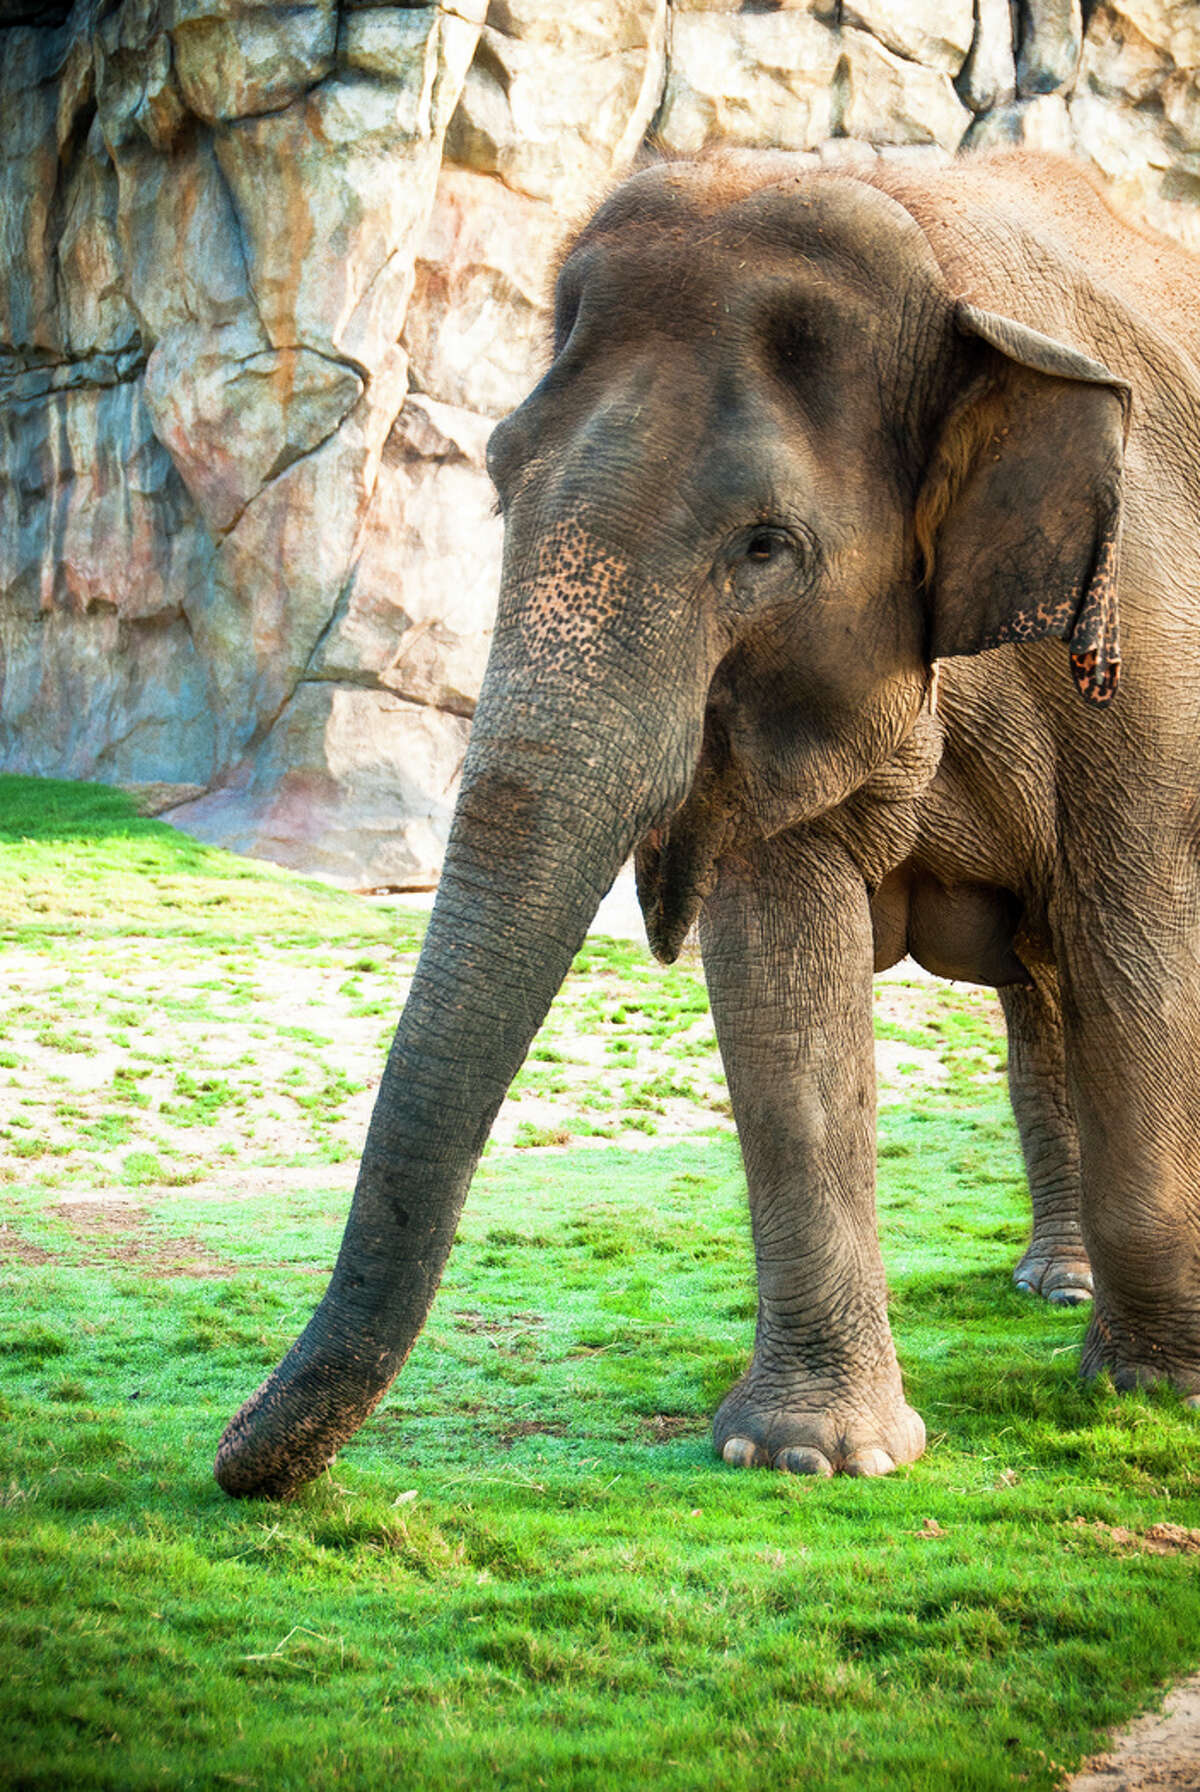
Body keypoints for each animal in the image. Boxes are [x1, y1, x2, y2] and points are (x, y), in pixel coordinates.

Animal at [215, 149, 1200, 1497]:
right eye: (499, 481)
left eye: (766, 546)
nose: (225, 1453)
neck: (932, 260)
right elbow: (782, 970)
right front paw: (810, 1456)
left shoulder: (1146, 642)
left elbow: (1139, 955)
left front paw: (1156, 1390)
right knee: (1036, 1000)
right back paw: (1052, 1285)